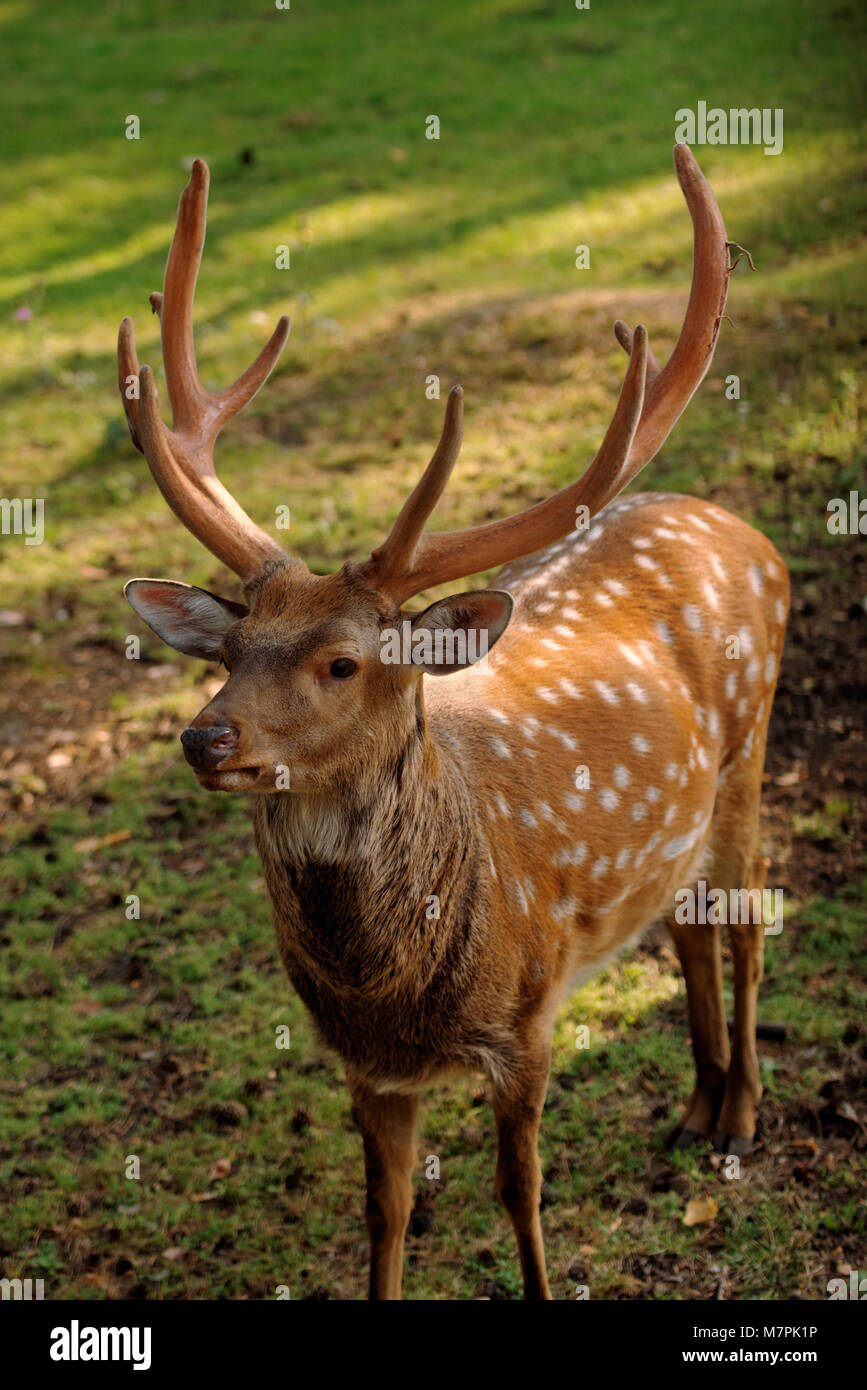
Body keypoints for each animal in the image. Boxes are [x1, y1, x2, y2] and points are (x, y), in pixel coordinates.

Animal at [117, 146, 789, 1301]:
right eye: (228, 651)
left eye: (342, 662)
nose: (207, 739)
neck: (394, 991)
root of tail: (744, 530)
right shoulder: (368, 1069)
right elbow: (384, 1215)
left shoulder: (527, 1018)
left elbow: (519, 1193)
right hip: (677, 822)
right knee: (688, 921)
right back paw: (697, 1104)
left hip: (750, 746)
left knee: (743, 922)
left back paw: (741, 1114)